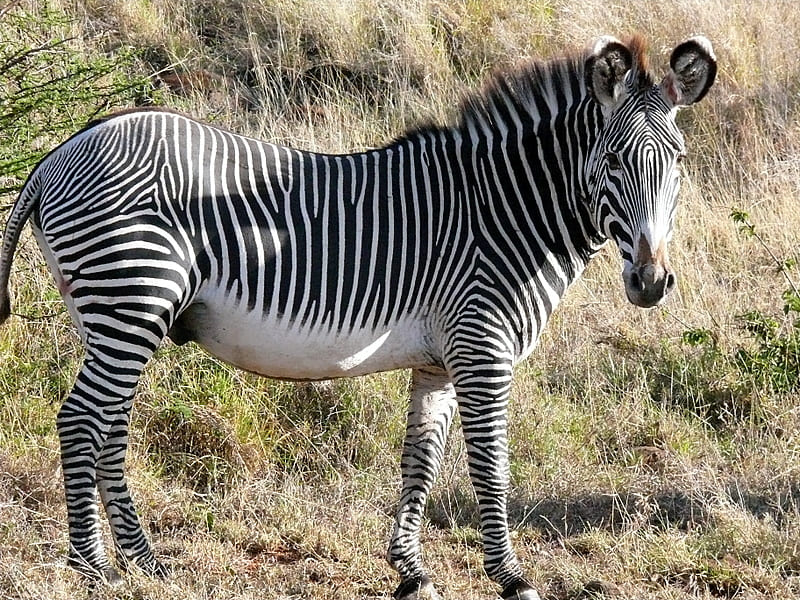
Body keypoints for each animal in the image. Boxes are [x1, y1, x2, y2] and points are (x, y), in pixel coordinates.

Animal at [0, 34, 715, 599]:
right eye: (614, 161)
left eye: (679, 161)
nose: (651, 283)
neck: (505, 210)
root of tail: (61, 151)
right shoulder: (483, 348)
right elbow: (490, 466)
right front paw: (511, 578)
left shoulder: (440, 362)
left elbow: (421, 460)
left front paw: (412, 572)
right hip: (131, 297)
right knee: (82, 420)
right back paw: (99, 568)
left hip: (107, 312)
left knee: (105, 426)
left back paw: (136, 563)